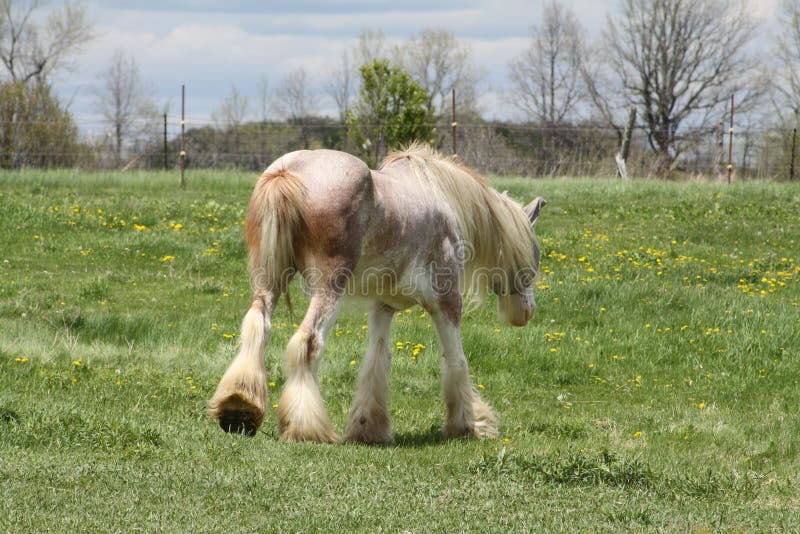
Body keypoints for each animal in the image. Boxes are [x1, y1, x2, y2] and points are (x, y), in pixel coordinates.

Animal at [208, 144, 545, 444]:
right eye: (534, 253)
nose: (526, 313)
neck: (436, 195)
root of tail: (287, 170)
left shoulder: (383, 307)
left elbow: (377, 362)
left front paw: (368, 428)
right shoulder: (447, 302)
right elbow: (456, 360)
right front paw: (469, 424)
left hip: (269, 282)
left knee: (257, 326)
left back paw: (239, 408)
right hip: (329, 288)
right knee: (308, 342)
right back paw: (307, 429)